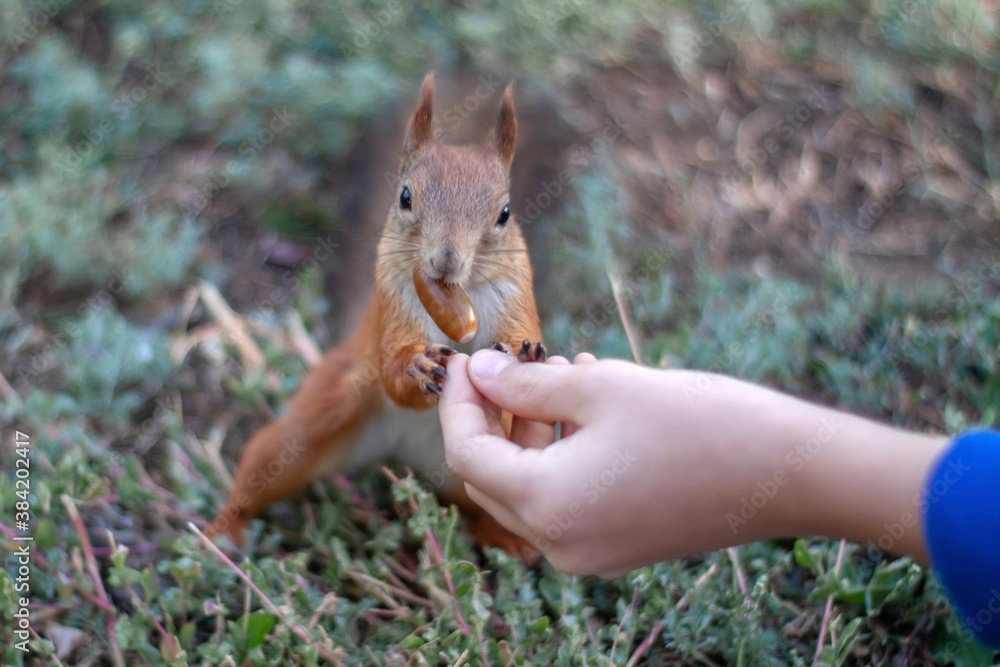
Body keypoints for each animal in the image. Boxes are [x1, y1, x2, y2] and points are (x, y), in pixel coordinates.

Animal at [208, 72, 545, 555]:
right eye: (405, 196)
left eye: (504, 213)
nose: (446, 261)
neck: (459, 294)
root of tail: (399, 450)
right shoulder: (392, 302)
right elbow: (391, 370)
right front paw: (417, 364)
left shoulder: (516, 294)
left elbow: (520, 340)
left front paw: (525, 355)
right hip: (315, 423)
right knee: (264, 463)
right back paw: (223, 531)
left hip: (465, 479)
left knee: (479, 506)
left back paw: (503, 536)